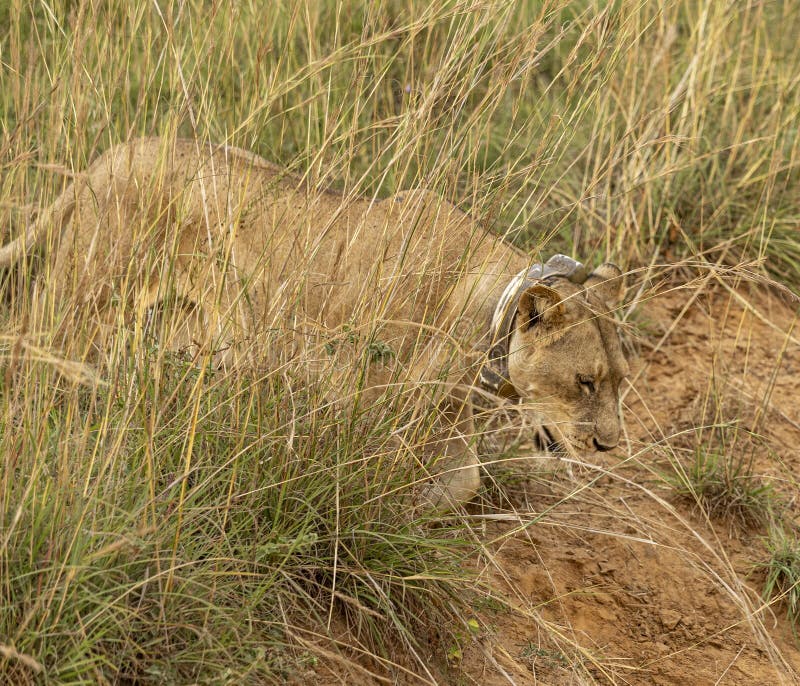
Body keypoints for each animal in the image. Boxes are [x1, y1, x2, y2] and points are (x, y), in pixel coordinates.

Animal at [1, 137, 629, 509]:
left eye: (619, 382)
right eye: (585, 382)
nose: (607, 446)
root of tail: (109, 157)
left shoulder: (446, 421)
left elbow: (461, 482)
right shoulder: (373, 407)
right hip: (87, 293)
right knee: (30, 345)